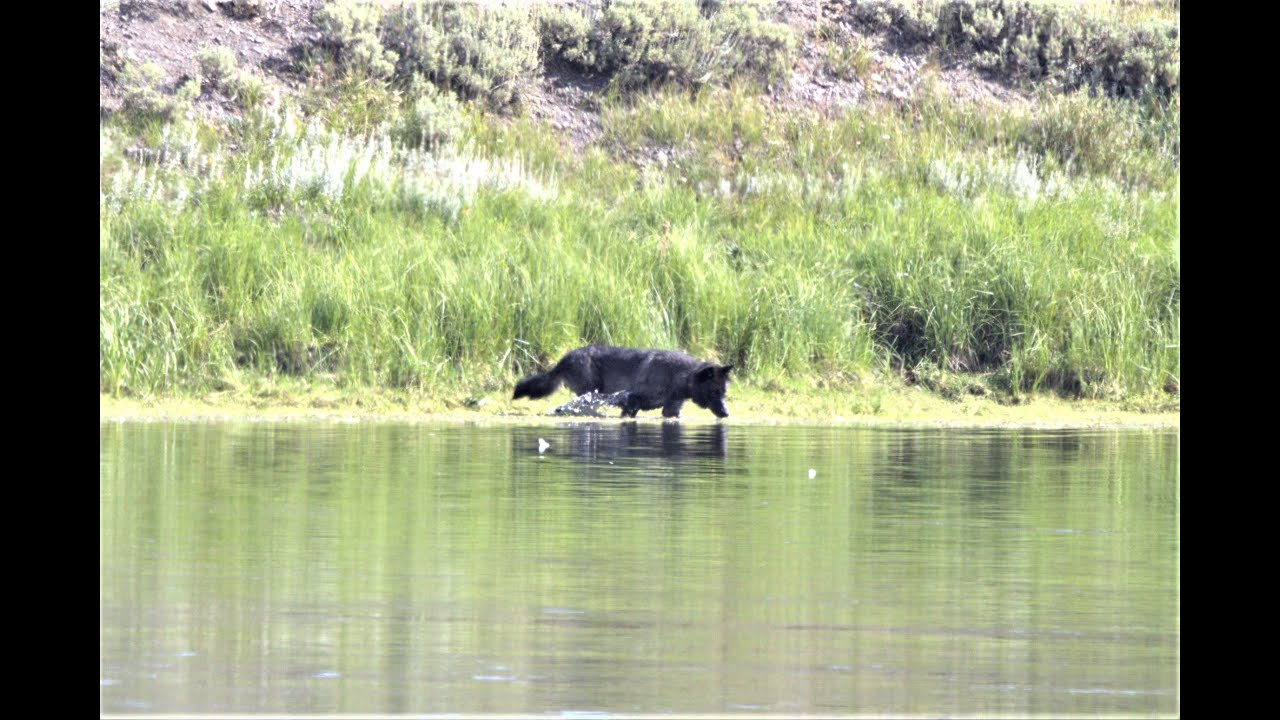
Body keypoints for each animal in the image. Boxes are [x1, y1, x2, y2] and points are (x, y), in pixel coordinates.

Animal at [513, 345, 734, 419]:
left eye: (724, 393)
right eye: (714, 392)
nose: (726, 413)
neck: (680, 376)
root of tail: (563, 360)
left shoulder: (671, 412)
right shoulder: (631, 403)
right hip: (589, 393)